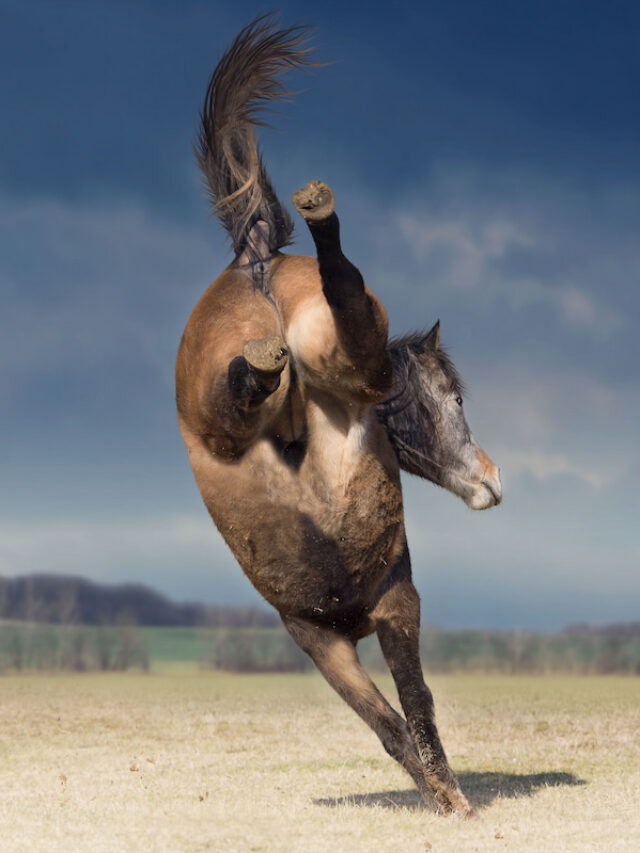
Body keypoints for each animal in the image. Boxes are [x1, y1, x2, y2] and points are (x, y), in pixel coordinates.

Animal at [175, 16, 502, 816]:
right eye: (454, 399)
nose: (491, 479)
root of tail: (256, 261)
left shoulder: (339, 637)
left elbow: (394, 722)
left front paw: (440, 796)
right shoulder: (369, 620)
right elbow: (408, 712)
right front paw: (453, 802)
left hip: (230, 395)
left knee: (253, 379)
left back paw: (266, 355)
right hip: (330, 368)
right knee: (350, 312)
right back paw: (320, 221)